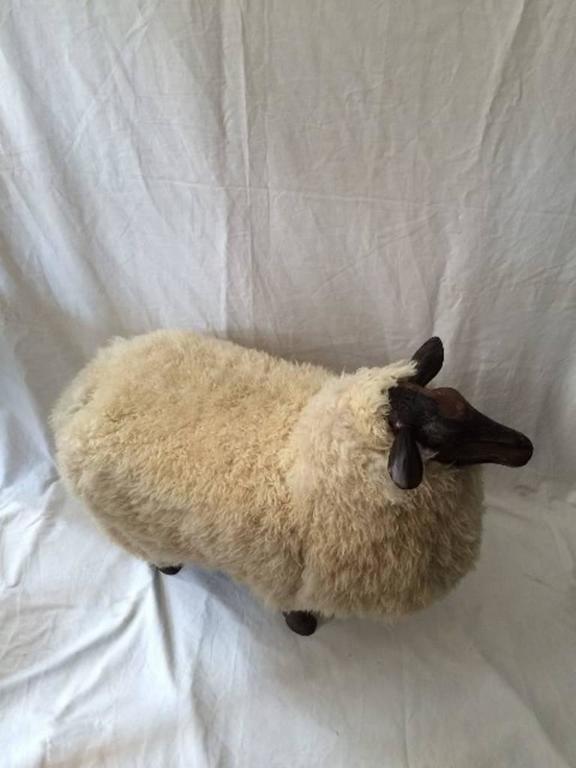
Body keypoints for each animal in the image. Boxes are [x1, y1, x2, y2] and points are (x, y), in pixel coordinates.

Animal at [51, 331, 533, 636]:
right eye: (438, 436)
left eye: (461, 403)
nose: (524, 447)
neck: (301, 452)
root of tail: (92, 379)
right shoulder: (287, 579)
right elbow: (297, 614)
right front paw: (303, 629)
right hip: (131, 519)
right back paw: (168, 566)